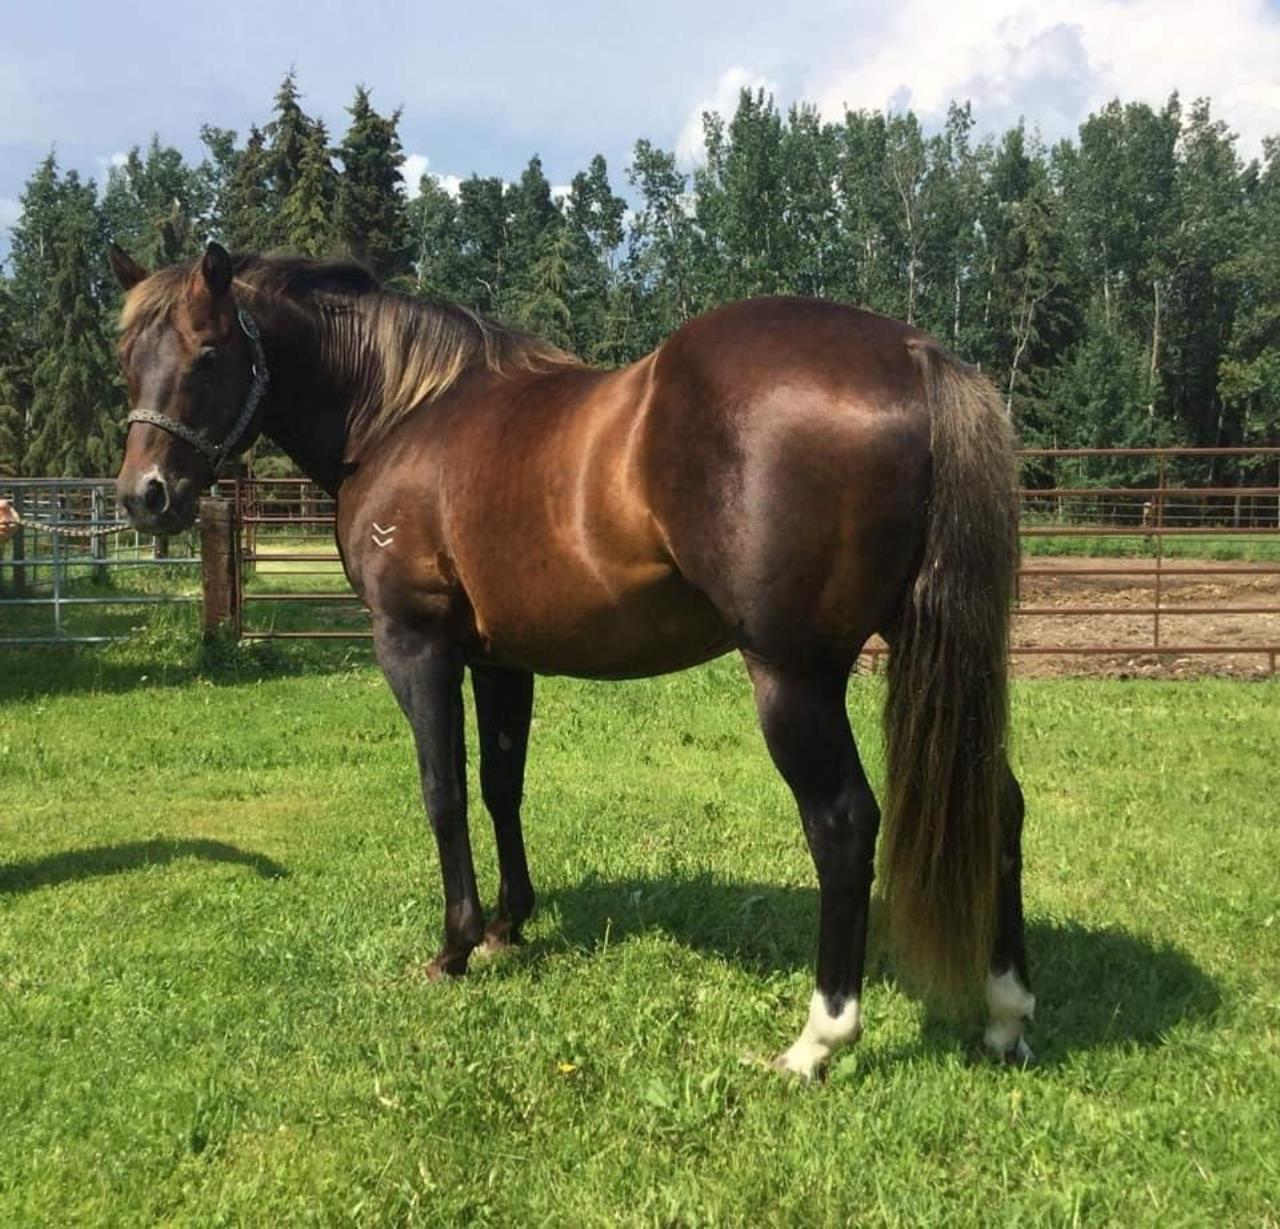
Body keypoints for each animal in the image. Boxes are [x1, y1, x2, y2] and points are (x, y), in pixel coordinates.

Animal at [109, 241, 1034, 1077]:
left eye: (208, 353)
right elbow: (500, 783)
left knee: (842, 826)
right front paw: (506, 925)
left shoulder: (414, 643)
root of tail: (913, 356)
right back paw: (1006, 1012)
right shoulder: (500, 659)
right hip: (923, 654)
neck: (401, 415)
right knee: (1000, 805)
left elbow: (444, 791)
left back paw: (817, 1041)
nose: (145, 496)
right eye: (127, 361)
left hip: (793, 676)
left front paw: (454, 946)